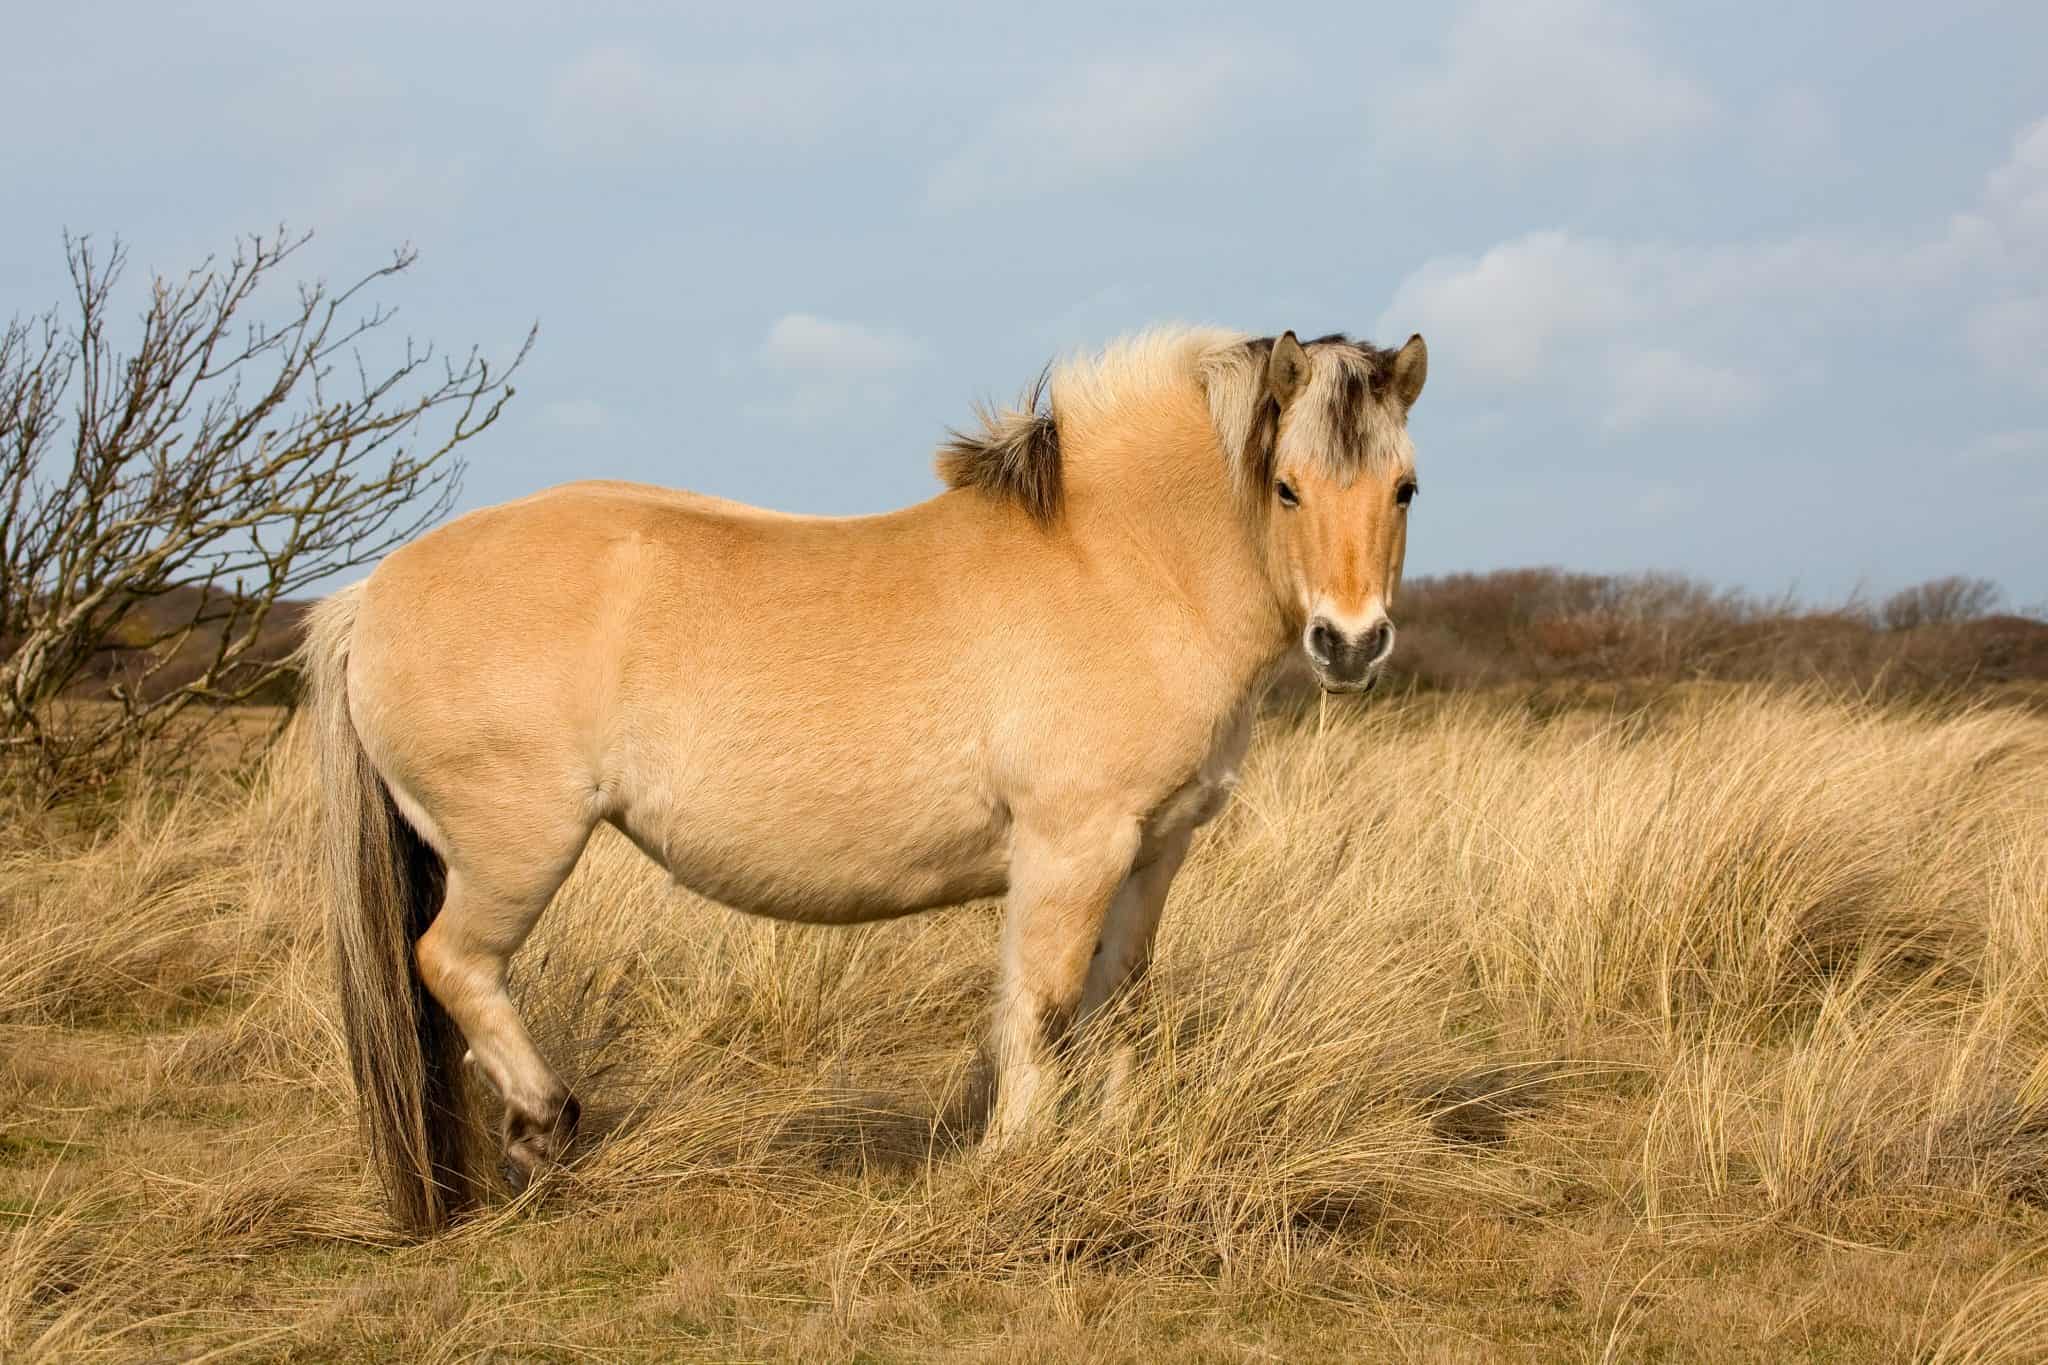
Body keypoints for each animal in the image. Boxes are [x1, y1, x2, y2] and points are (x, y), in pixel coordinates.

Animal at [301, 325, 1428, 1232]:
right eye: (1286, 486)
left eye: (1403, 488)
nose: (1350, 643)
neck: (1121, 562)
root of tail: (374, 593)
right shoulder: (1070, 848)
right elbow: (1040, 1009)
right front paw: (1011, 1164)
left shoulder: (1153, 851)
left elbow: (1116, 1003)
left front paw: (1109, 1145)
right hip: (514, 849)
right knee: (451, 964)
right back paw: (542, 1124)